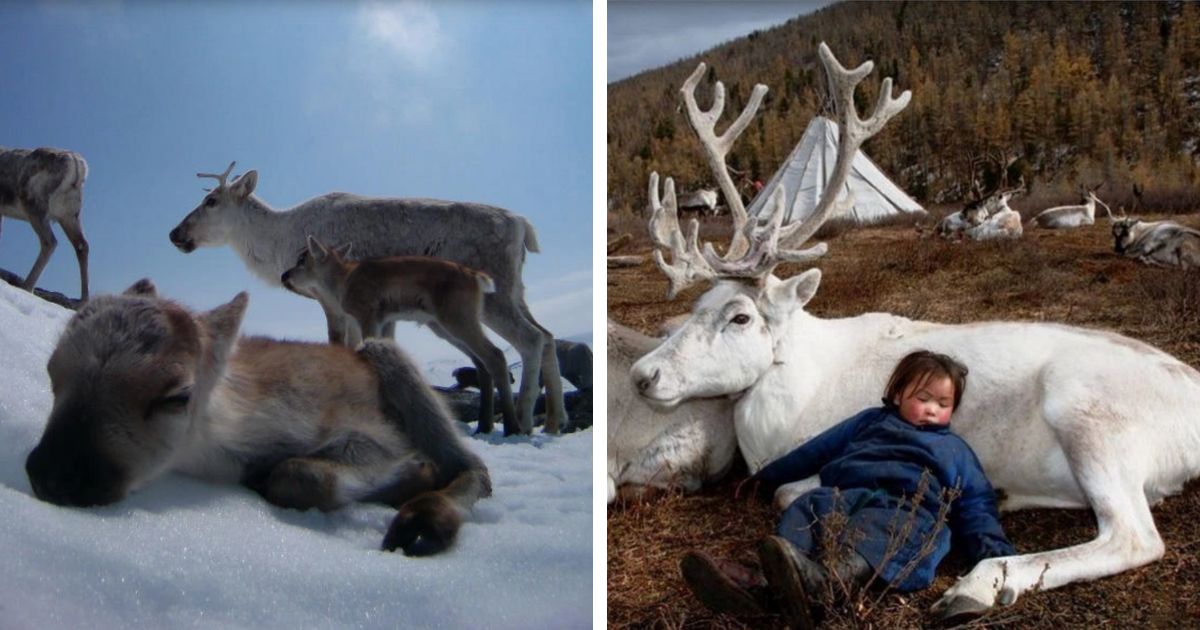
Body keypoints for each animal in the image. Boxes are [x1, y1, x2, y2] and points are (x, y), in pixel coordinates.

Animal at [0, 147, 89, 301]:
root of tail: (75, 164)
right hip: (69, 216)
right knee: (82, 246)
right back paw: (83, 301)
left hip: (36, 211)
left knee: (49, 242)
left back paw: (27, 287)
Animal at [280, 235, 518, 436]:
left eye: (301, 259)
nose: (284, 276)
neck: (342, 282)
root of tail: (476, 277)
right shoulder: (386, 321)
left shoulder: (368, 315)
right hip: (444, 326)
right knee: (481, 363)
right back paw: (484, 426)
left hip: (458, 319)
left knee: (495, 355)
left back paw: (512, 427)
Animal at [627, 42, 1200, 621]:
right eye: (697, 305)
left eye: (740, 316)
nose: (642, 374)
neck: (793, 395)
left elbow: (790, 491)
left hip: (1089, 417)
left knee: (1133, 536)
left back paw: (980, 583)